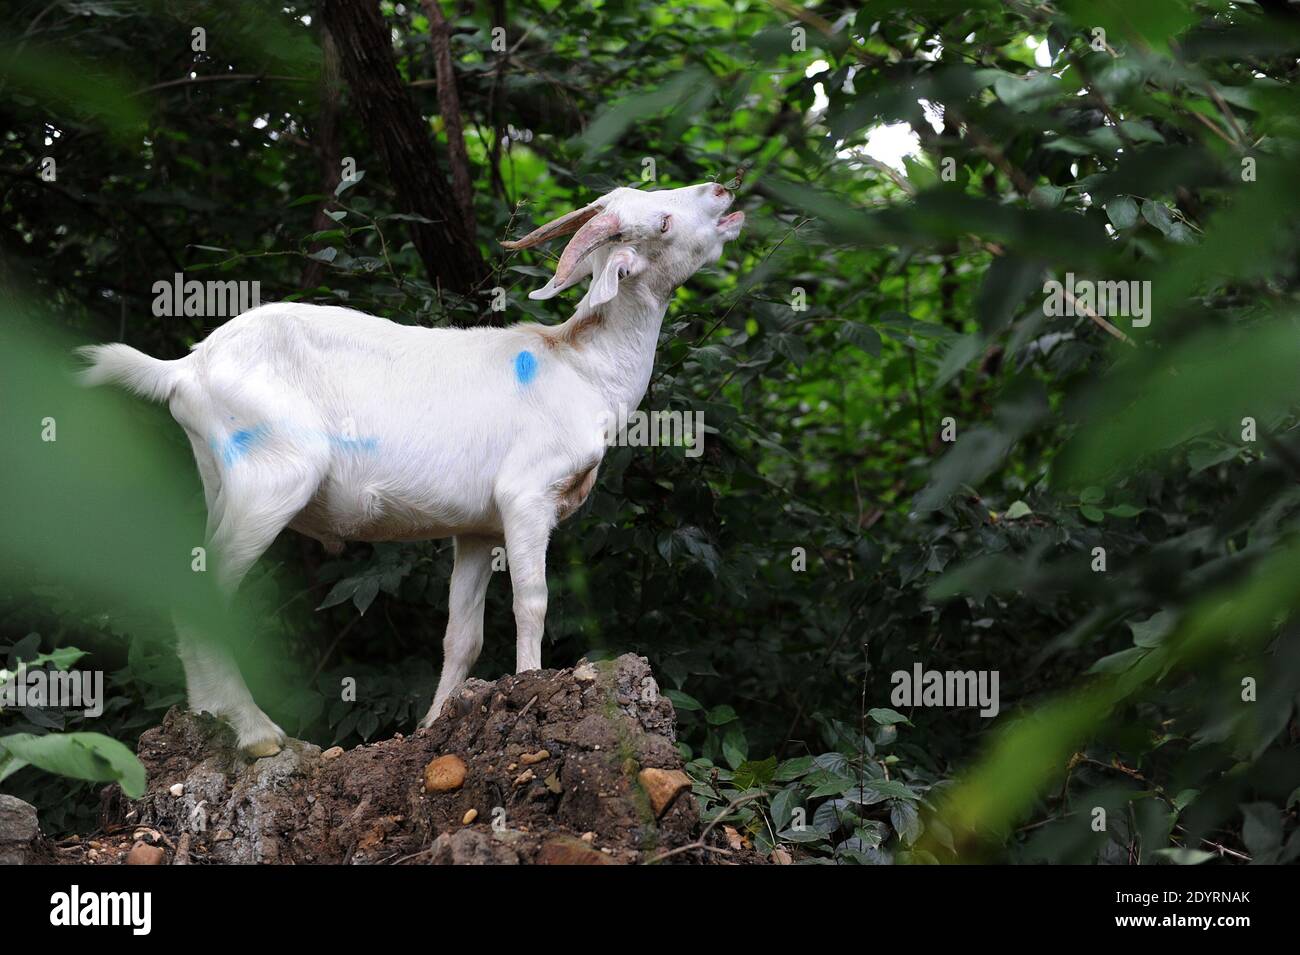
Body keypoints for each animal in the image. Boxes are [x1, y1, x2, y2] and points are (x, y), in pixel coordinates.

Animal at [77, 182, 745, 756]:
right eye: (662, 221)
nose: (723, 192)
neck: (580, 368)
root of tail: (184, 369)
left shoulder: (476, 528)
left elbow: (462, 636)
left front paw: (433, 727)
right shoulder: (525, 497)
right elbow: (532, 601)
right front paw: (530, 687)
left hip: (219, 480)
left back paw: (207, 716)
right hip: (272, 479)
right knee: (208, 590)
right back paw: (256, 733)